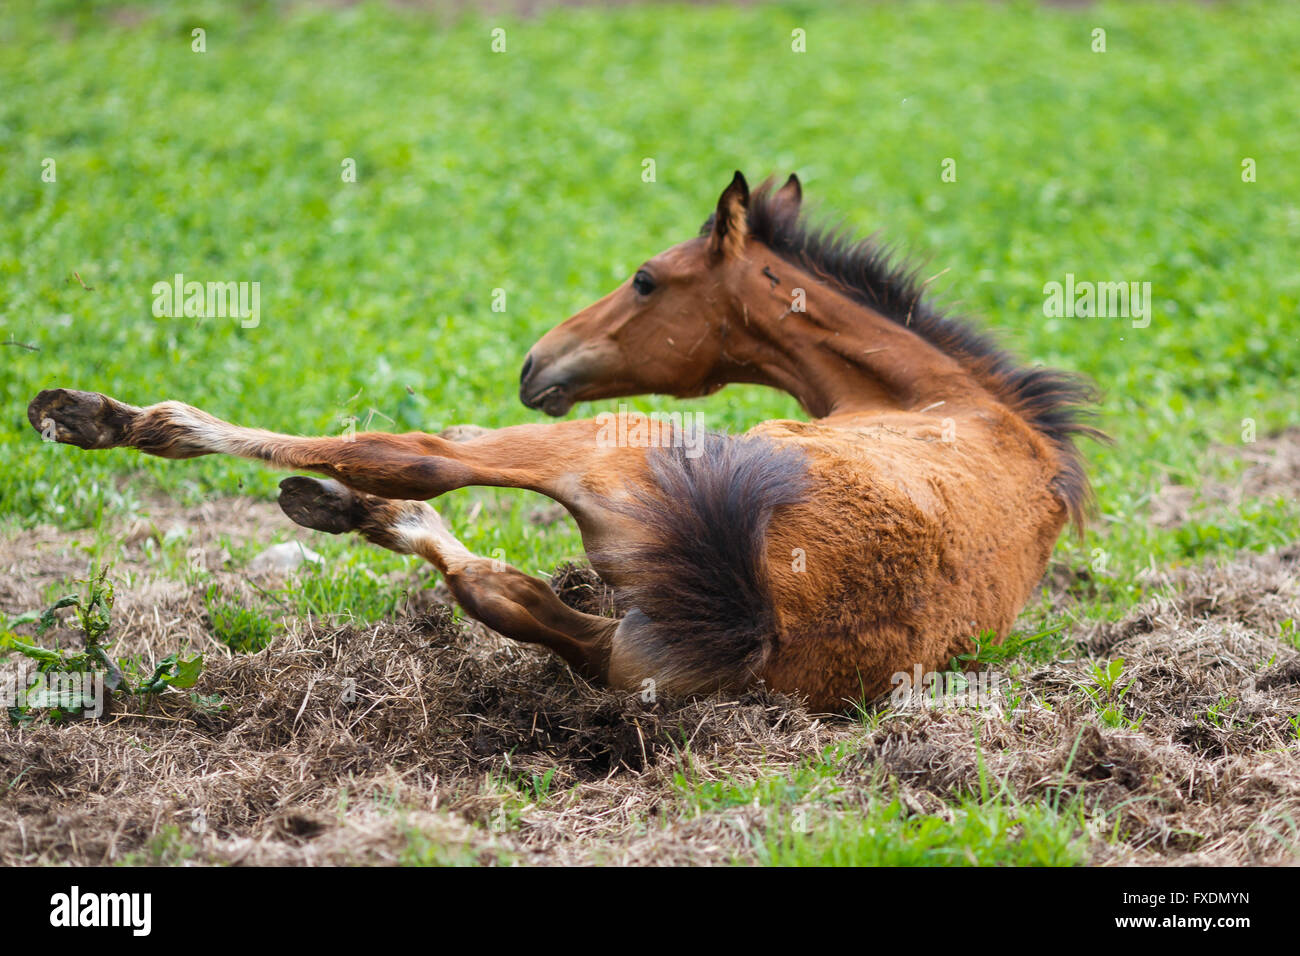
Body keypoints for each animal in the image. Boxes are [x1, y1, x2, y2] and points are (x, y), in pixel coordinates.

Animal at [27, 171, 1100, 712]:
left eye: (646, 277)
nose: (536, 362)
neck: (944, 401)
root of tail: (760, 612)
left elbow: (422, 444)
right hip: (626, 637)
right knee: (505, 593)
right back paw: (340, 507)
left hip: (608, 443)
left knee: (416, 458)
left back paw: (114, 418)